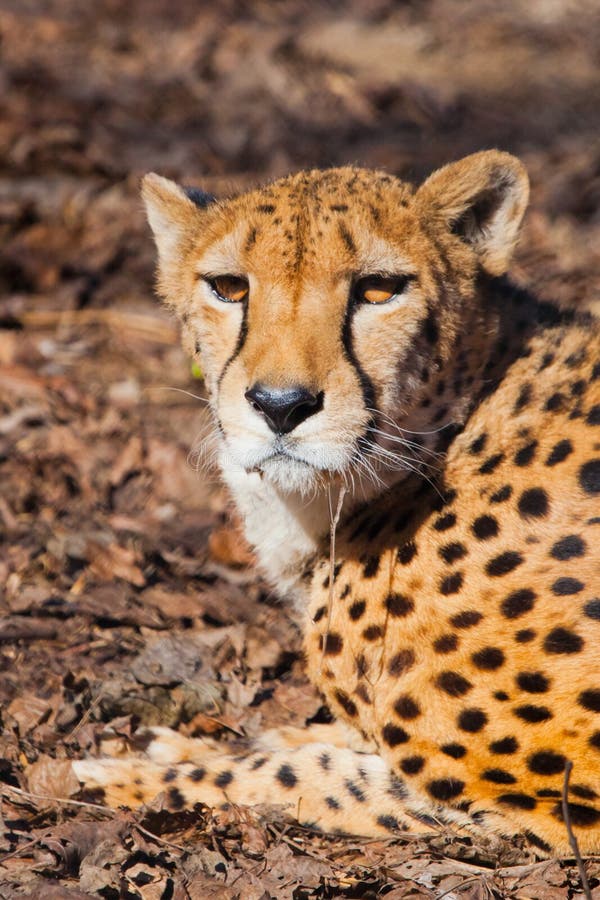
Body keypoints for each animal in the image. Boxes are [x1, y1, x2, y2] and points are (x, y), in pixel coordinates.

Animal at [73, 150, 600, 857]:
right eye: (229, 288)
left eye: (379, 289)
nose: (279, 404)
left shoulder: (552, 800)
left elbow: (307, 774)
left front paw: (120, 777)